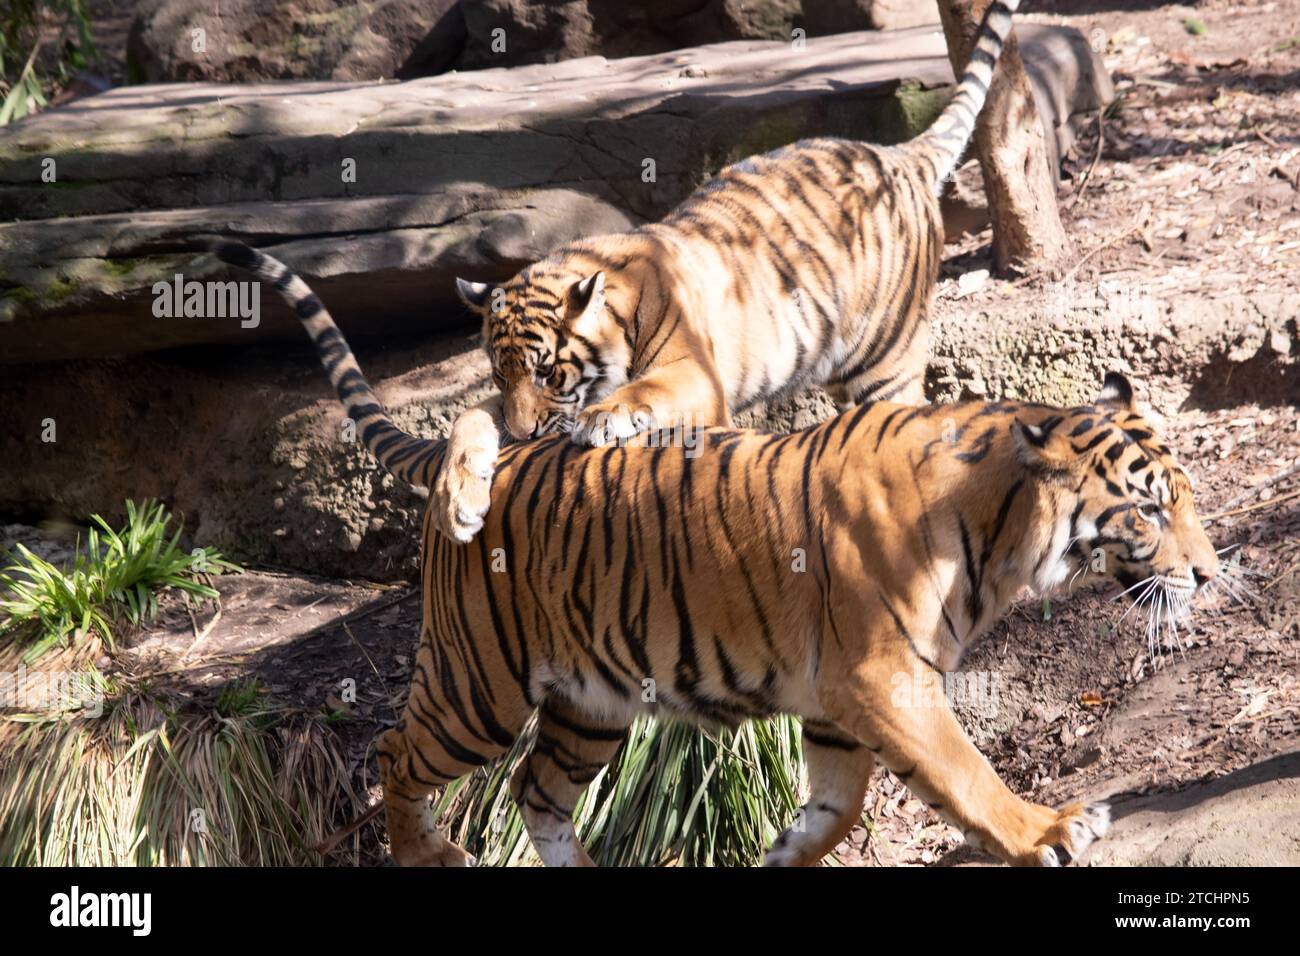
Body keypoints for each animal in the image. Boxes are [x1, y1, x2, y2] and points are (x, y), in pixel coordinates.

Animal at [215, 241, 1220, 867]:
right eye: (1148, 509)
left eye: (1189, 497)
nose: (1210, 572)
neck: (1001, 529)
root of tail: (508, 447)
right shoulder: (885, 678)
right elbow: (965, 773)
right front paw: (1049, 829)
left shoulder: (839, 696)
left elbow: (840, 804)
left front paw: (784, 849)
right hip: (480, 687)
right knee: (396, 754)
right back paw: (432, 851)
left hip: (592, 700)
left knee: (537, 791)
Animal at [433, 0, 1024, 543]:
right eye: (499, 375)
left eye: (549, 374)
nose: (524, 433)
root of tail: (897, 154)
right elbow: (468, 415)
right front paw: (454, 502)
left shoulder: (696, 374)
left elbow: (646, 390)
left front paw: (601, 417)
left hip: (888, 359)